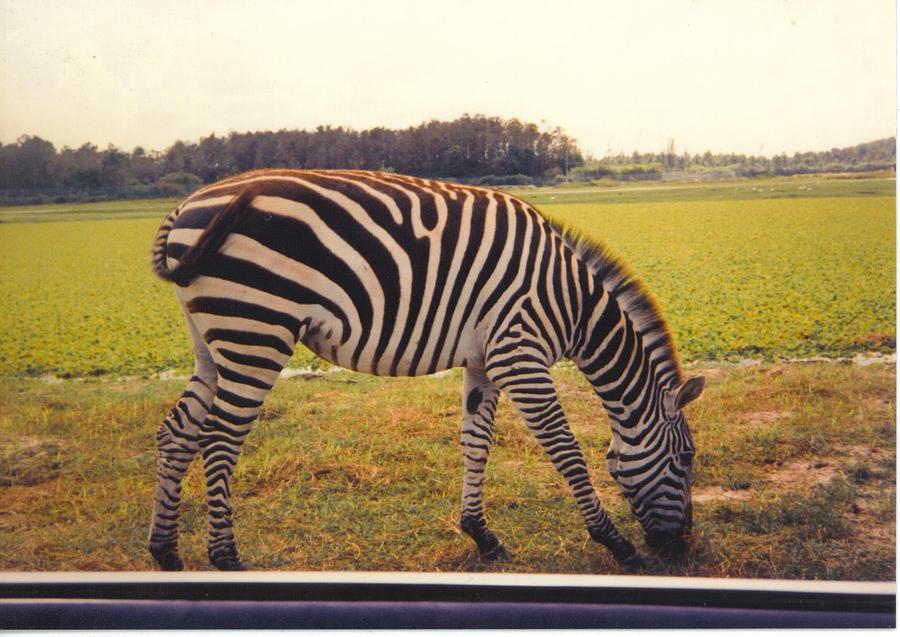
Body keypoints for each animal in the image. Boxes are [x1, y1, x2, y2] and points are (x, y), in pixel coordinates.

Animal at [148, 169, 704, 572]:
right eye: (685, 459)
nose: (681, 549)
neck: (574, 306)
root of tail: (185, 206)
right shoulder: (519, 354)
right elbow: (565, 451)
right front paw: (615, 543)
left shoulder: (485, 360)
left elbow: (475, 442)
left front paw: (482, 535)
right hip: (256, 330)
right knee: (219, 440)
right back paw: (226, 558)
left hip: (214, 341)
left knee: (177, 431)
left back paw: (166, 552)